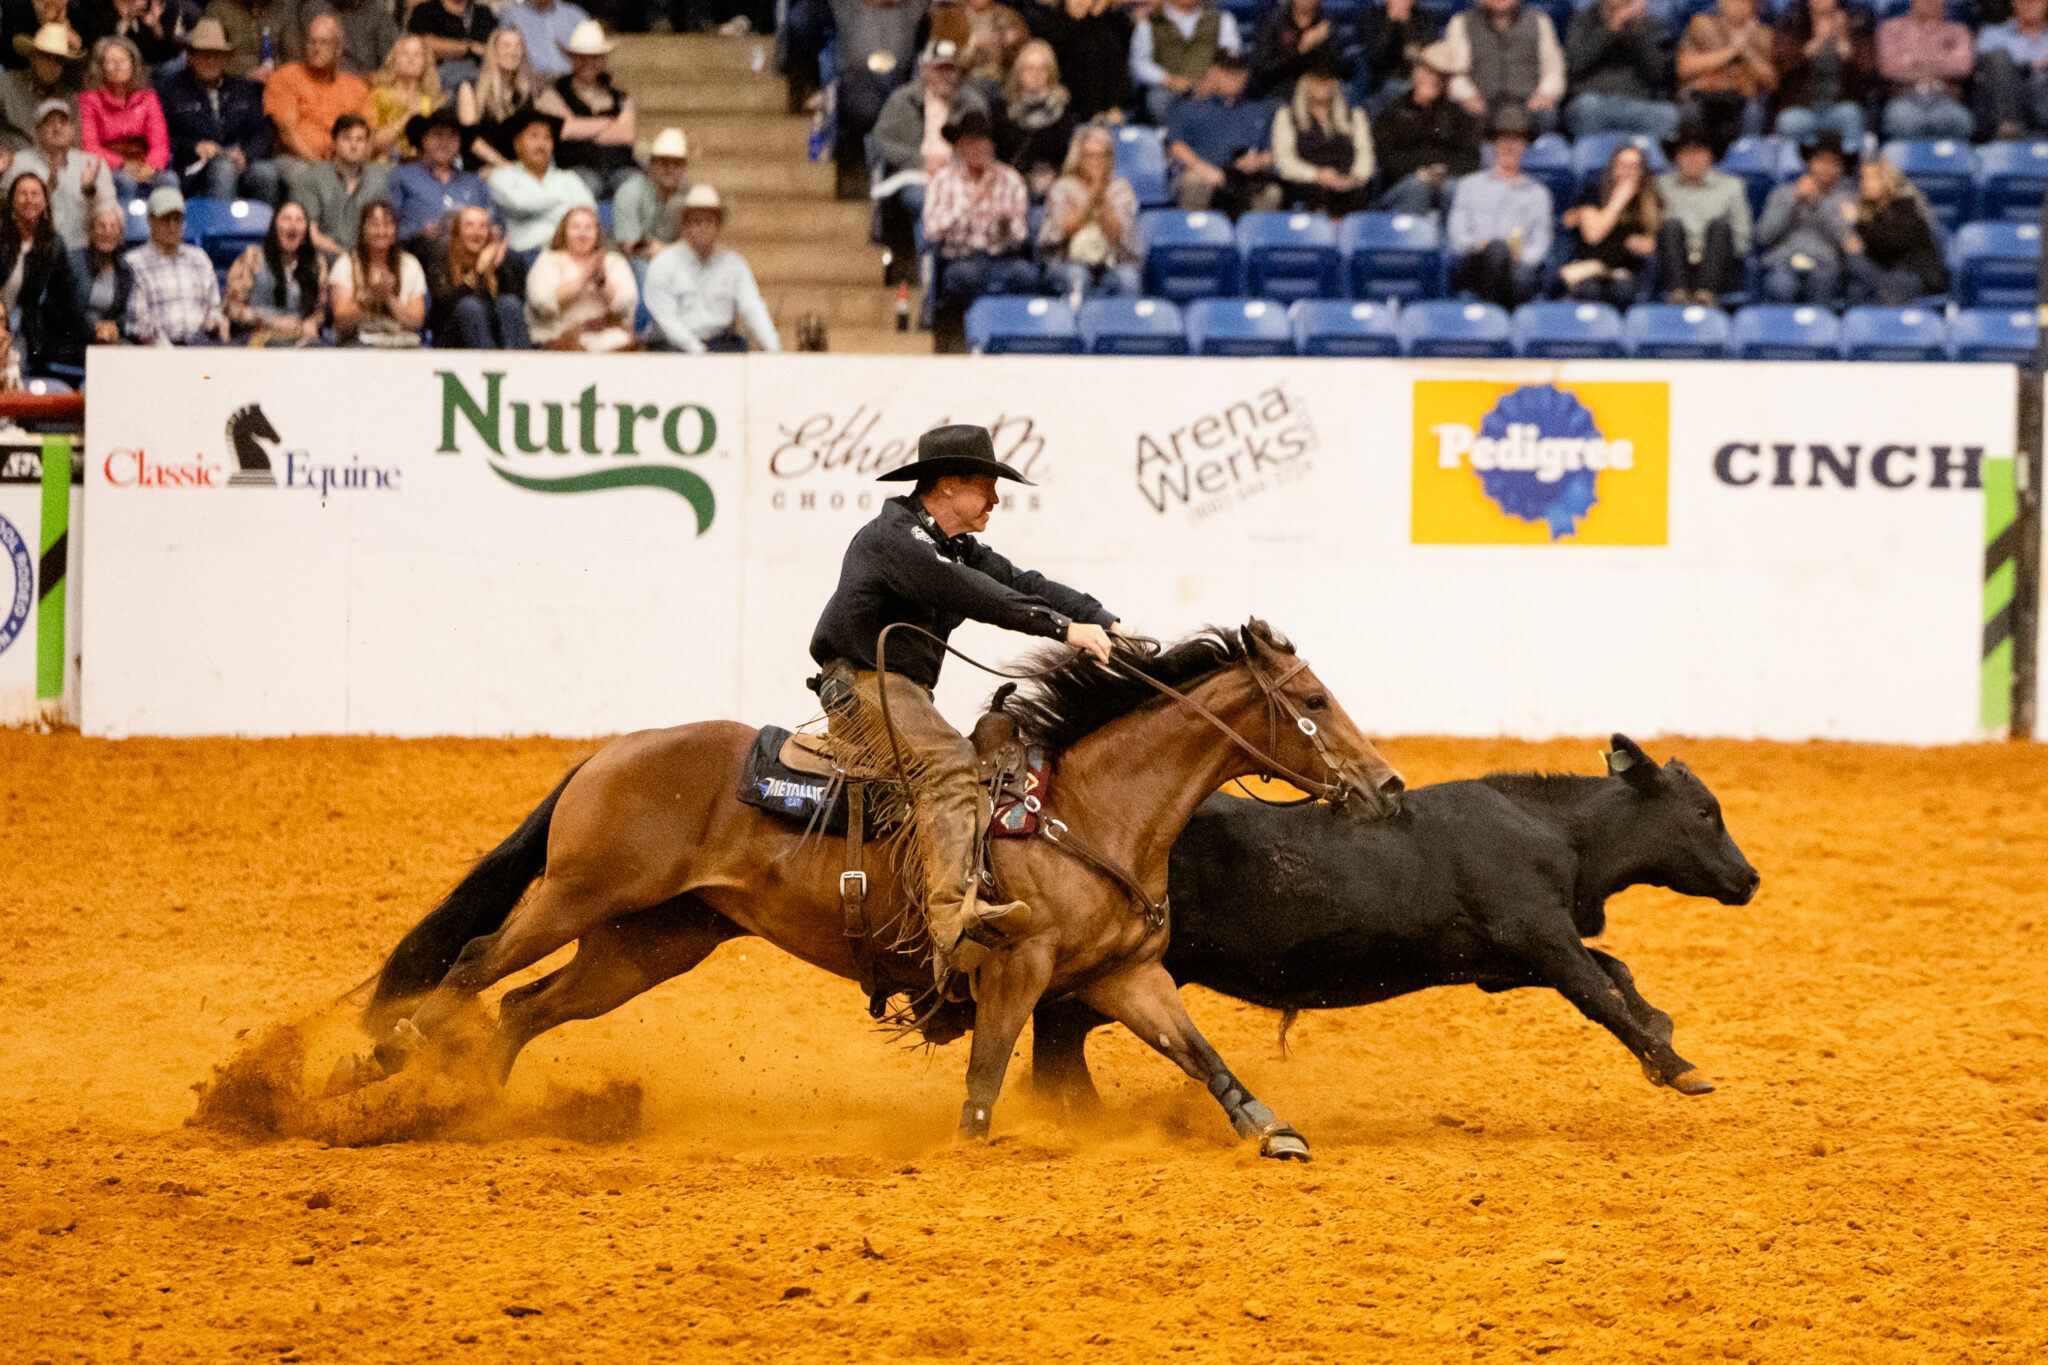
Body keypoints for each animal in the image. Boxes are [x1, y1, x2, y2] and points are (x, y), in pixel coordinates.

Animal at [350, 621, 1405, 1159]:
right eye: (1314, 701)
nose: (1389, 786)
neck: (1086, 810)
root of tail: (608, 752)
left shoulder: (1127, 975)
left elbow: (1203, 1054)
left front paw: (1273, 1131)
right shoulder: (1015, 971)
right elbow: (985, 1077)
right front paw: (968, 1147)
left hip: (648, 941)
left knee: (524, 1006)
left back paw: (470, 1103)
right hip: (576, 896)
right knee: (475, 965)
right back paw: (388, 1072)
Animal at [1030, 734, 1761, 1112]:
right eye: (1705, 812)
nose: (1751, 878)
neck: (1557, 830)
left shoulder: (1503, 961)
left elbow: (1617, 972)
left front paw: (1662, 1032)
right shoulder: (1540, 935)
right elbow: (1601, 994)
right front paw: (1677, 1065)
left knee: (1057, 1029)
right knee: (1057, 1025)